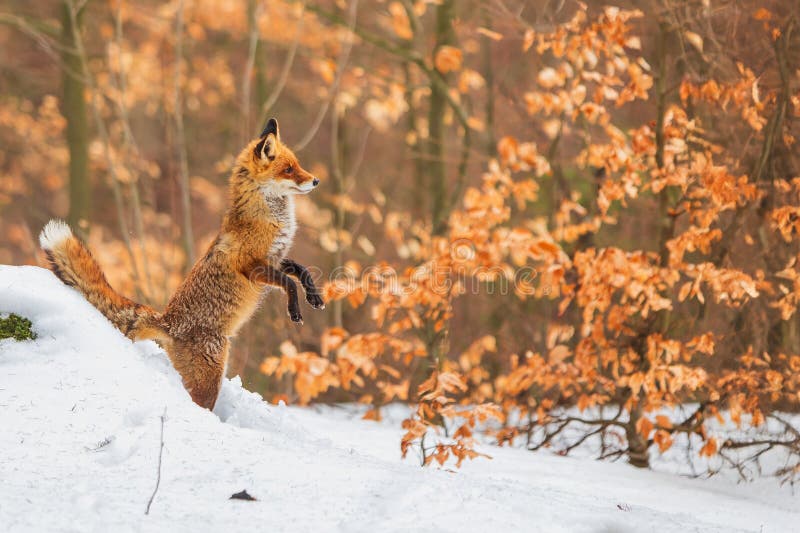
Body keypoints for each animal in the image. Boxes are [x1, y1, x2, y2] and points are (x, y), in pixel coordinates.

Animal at [39, 118, 324, 409]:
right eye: (288, 169)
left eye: (297, 164)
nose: (316, 180)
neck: (266, 216)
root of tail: (168, 322)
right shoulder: (251, 266)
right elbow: (288, 282)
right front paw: (294, 310)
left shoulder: (276, 258)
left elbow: (301, 271)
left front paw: (314, 297)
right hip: (210, 378)